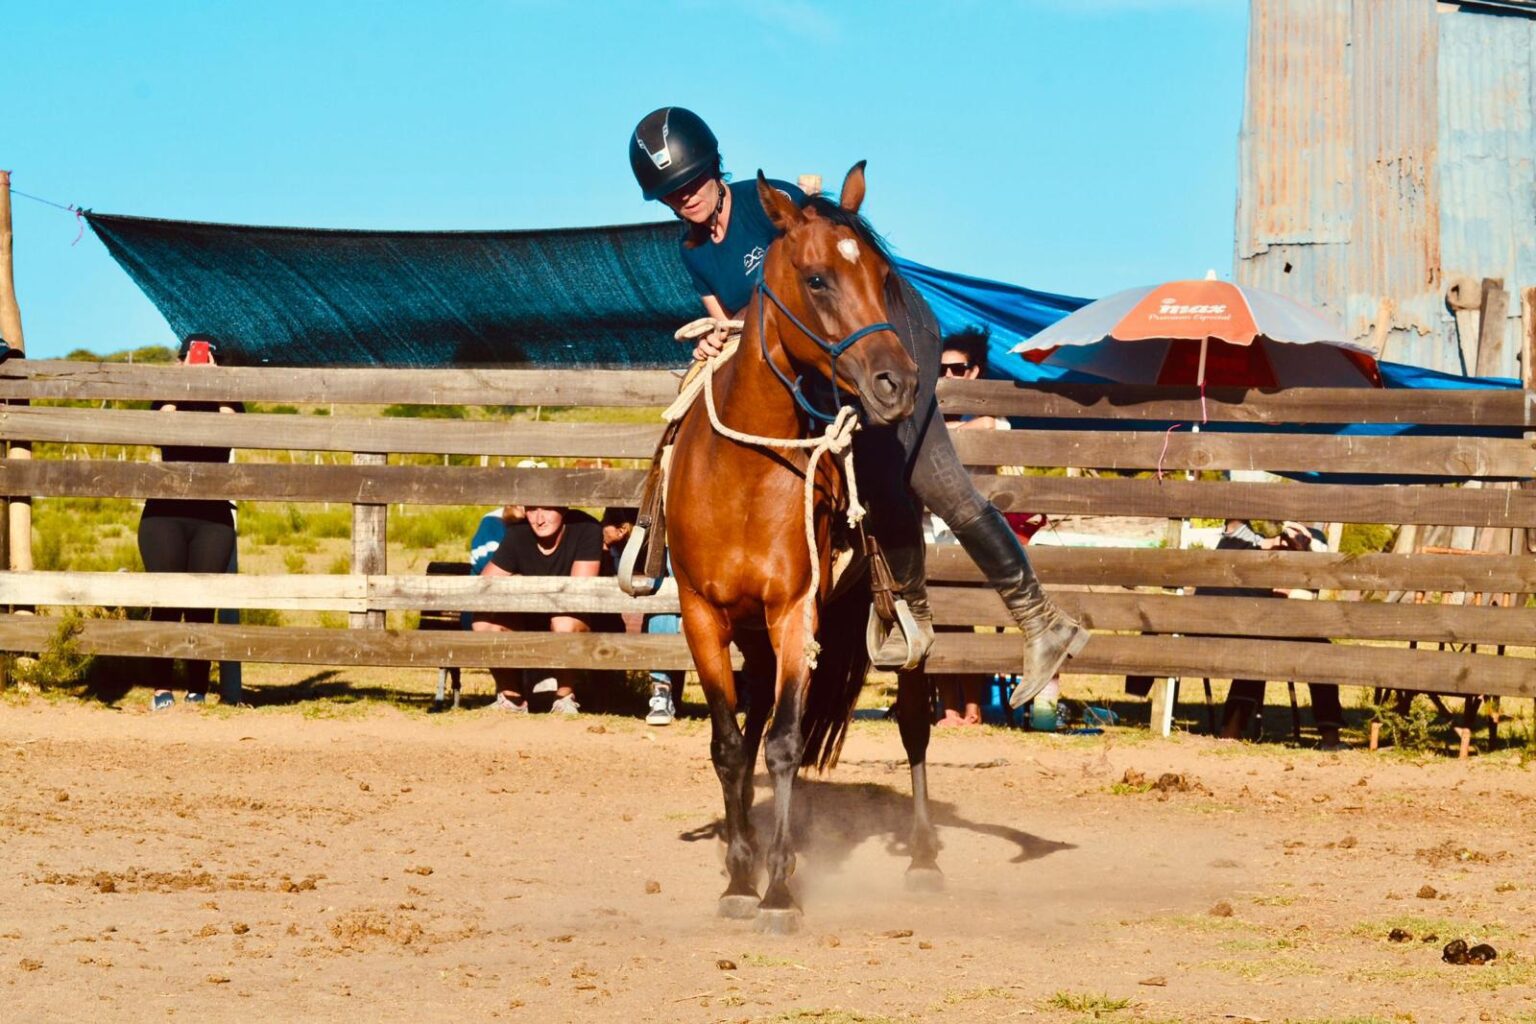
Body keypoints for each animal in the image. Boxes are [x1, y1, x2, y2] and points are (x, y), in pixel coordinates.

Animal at [665, 163, 942, 933]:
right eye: (817, 279)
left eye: (885, 277)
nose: (897, 382)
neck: (744, 473)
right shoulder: (702, 616)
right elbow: (732, 745)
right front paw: (740, 876)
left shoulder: (795, 613)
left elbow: (786, 744)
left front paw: (780, 891)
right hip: (748, 630)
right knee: (754, 717)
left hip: (899, 606)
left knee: (913, 722)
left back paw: (922, 859)